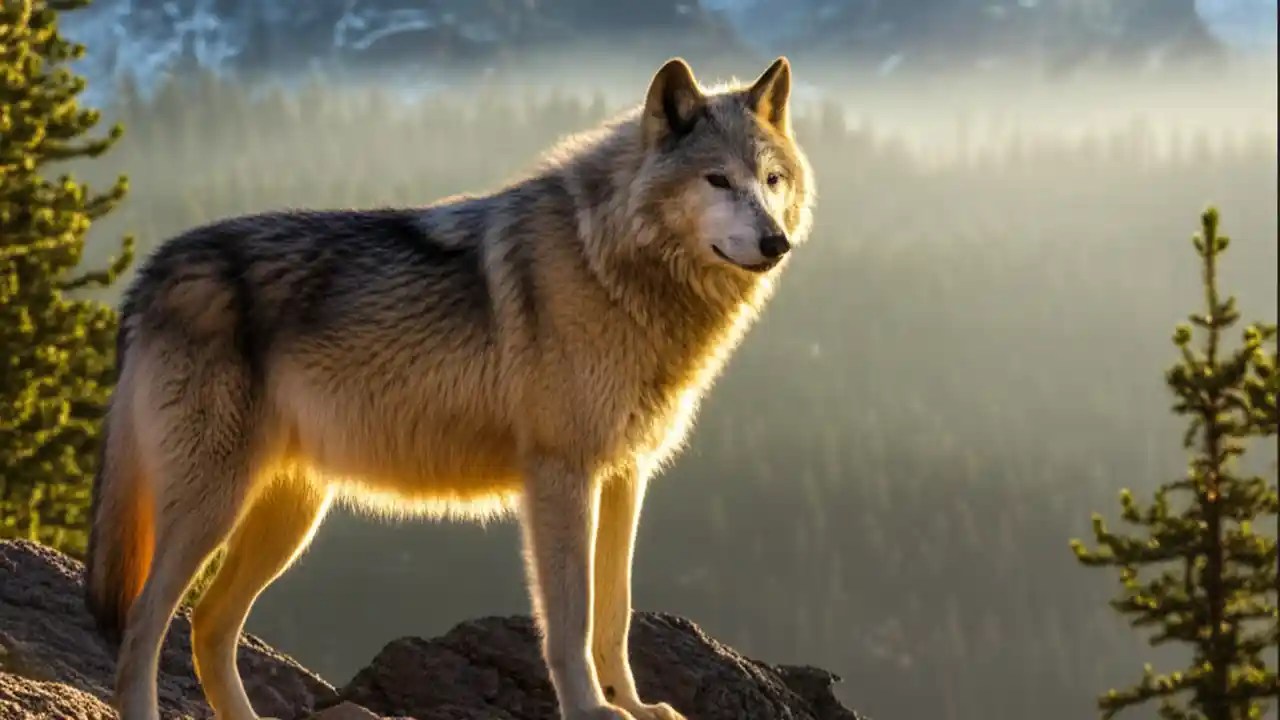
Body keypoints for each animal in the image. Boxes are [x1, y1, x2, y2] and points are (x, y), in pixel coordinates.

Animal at [84, 55, 815, 720]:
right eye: (717, 180)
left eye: (771, 180)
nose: (775, 242)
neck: (611, 264)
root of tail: (151, 271)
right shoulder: (561, 474)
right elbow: (571, 621)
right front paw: (590, 709)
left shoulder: (624, 476)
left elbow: (615, 614)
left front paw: (633, 705)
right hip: (213, 508)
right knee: (145, 626)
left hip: (288, 516)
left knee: (208, 626)